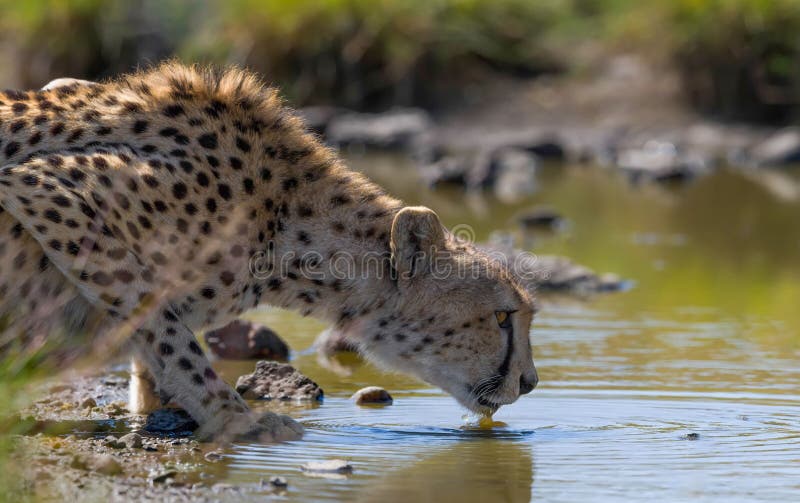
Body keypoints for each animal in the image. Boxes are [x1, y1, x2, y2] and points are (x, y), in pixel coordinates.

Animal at [0, 63, 538, 441]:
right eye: (501, 317)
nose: (531, 382)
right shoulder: (44, 186)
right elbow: (166, 330)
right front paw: (237, 419)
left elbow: (155, 339)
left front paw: (165, 406)